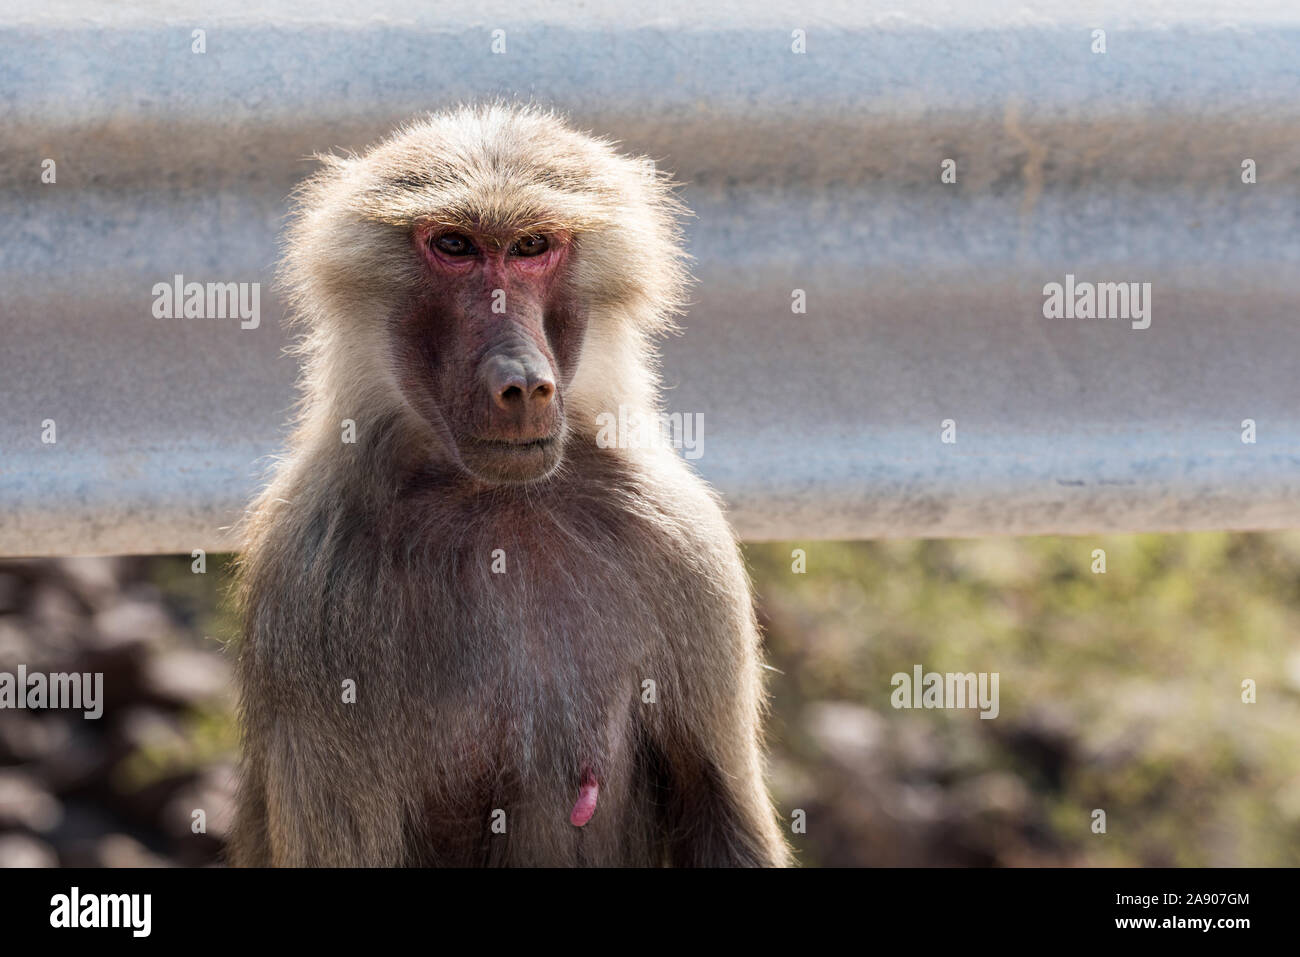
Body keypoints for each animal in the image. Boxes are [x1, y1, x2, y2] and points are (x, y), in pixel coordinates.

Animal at [228, 103, 791, 867]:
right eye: (455, 245)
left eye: (531, 246)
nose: (522, 383)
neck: (494, 503)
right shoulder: (311, 586)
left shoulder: (678, 540)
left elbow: (723, 816)